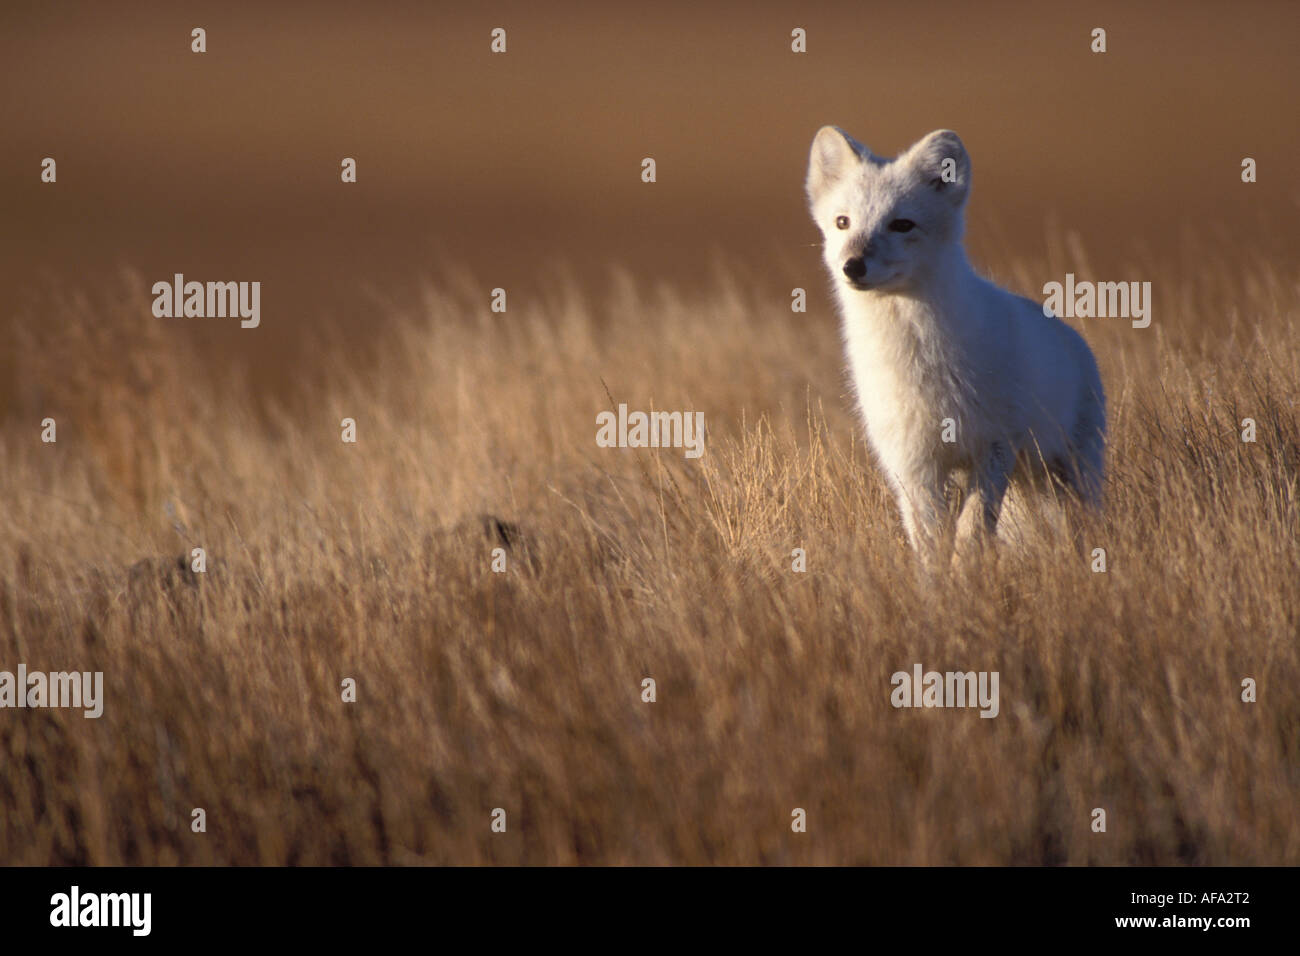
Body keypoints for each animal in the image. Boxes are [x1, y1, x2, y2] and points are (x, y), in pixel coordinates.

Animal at [805, 126, 1106, 555]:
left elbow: (971, 532)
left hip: (1072, 474)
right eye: (843, 222)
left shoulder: (994, 447)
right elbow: (930, 543)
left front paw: (968, 570)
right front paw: (937, 575)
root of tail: (1074, 339)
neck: (916, 355)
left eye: (902, 224)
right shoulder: (913, 466)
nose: (853, 266)